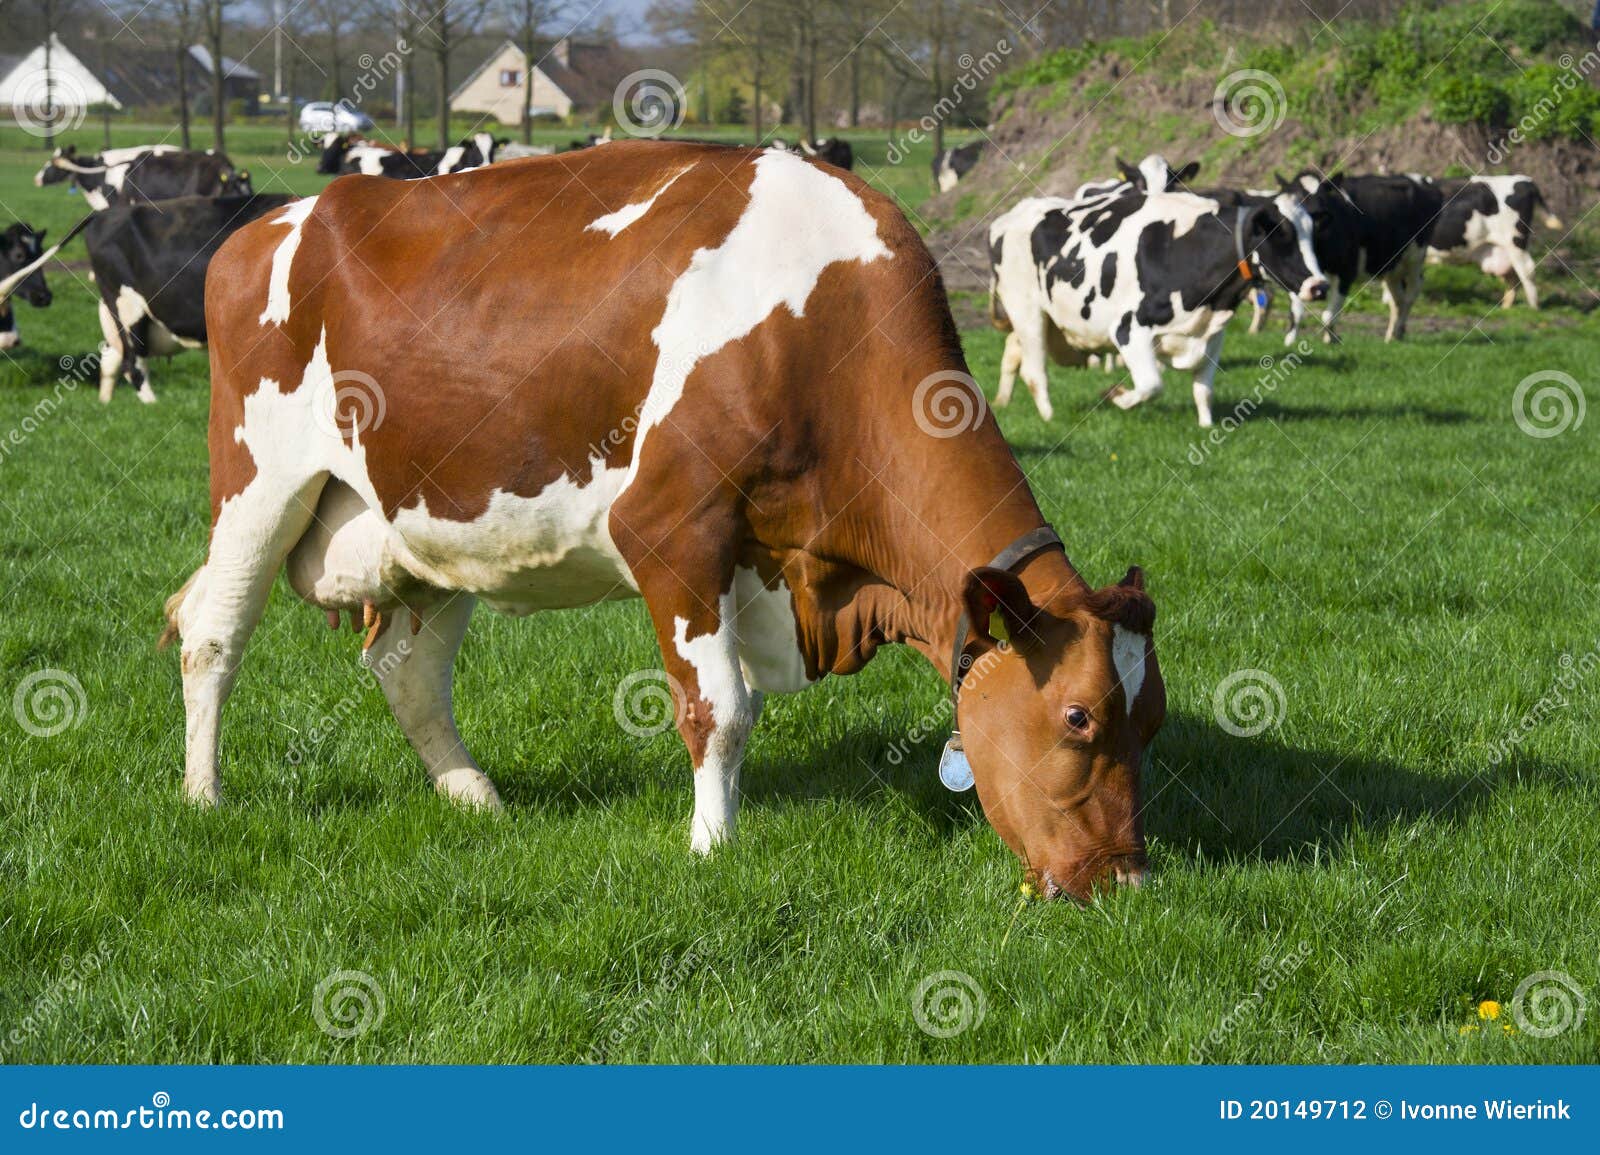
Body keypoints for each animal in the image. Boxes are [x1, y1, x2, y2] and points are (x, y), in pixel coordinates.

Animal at [82, 194, 297, 402]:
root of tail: (105, 214)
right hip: (127, 307)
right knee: (133, 364)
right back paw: (153, 404)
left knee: (111, 358)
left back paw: (105, 402)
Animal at [158, 141, 1167, 903]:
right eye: (1079, 716)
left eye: (1152, 720)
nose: (1127, 881)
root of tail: (275, 219)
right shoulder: (672, 530)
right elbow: (718, 706)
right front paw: (713, 843)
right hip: (257, 486)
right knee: (212, 634)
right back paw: (203, 796)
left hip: (429, 522)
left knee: (406, 669)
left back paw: (472, 794)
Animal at [988, 186, 1327, 426]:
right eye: (1280, 233)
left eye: (1312, 233)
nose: (1319, 286)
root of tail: (1010, 215)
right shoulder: (1128, 327)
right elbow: (1152, 385)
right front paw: (1116, 396)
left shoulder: (1213, 333)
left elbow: (1204, 389)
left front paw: (1206, 426)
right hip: (1027, 310)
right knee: (1034, 369)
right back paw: (1049, 417)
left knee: (1012, 350)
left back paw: (1001, 401)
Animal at [1425, 174, 1561, 309]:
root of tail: (1525, 180)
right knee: (1512, 275)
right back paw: (1505, 308)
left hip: (1515, 241)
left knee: (1527, 270)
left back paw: (1533, 308)